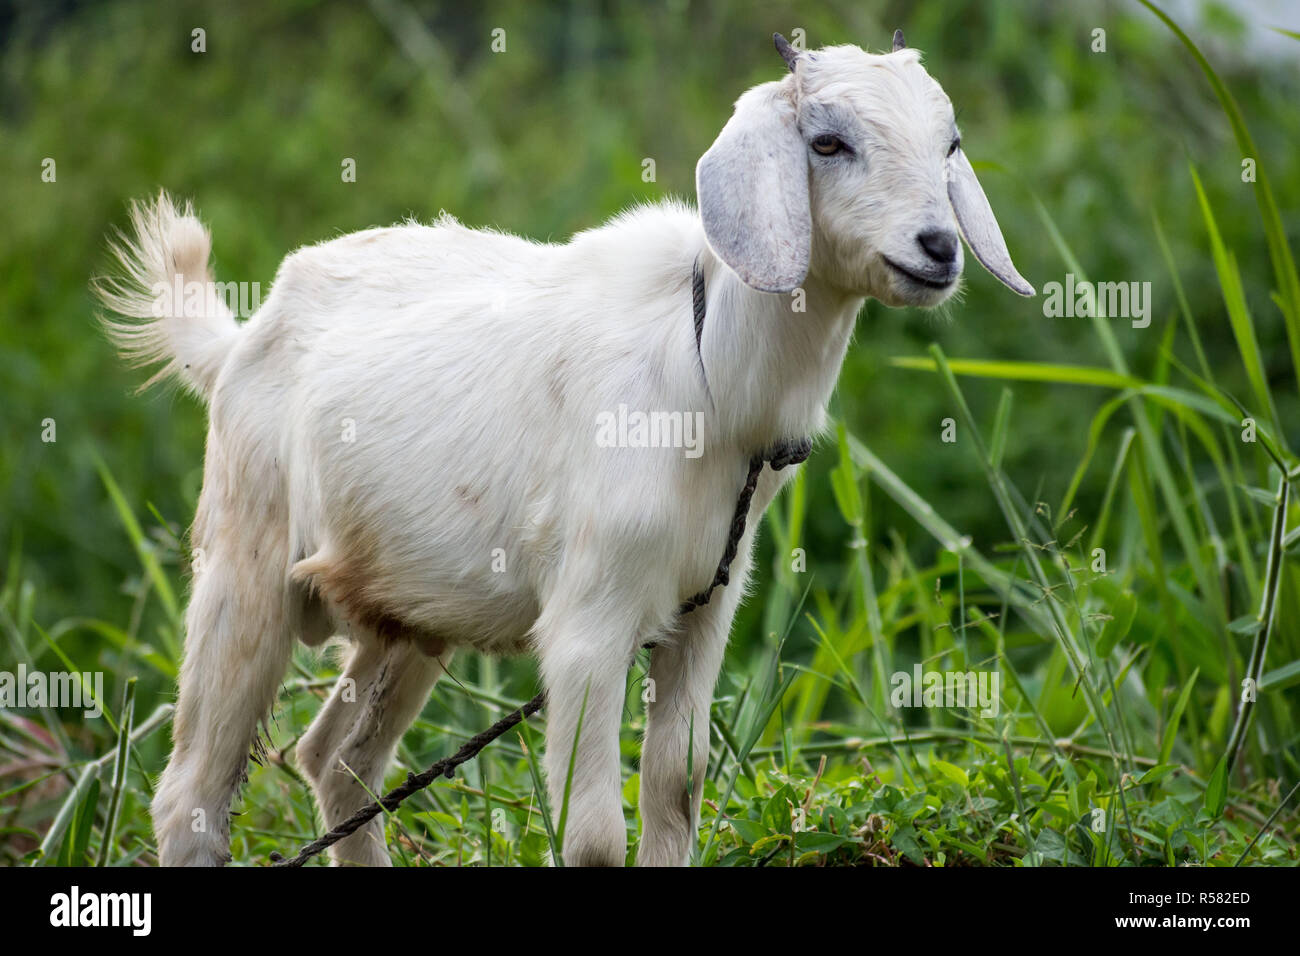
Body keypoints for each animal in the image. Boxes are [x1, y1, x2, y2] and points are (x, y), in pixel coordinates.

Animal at [95, 31, 1032, 867]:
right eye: (828, 142)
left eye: (947, 144)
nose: (939, 249)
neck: (709, 375)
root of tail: (239, 339)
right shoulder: (587, 623)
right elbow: (591, 840)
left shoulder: (704, 614)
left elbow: (676, 791)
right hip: (244, 569)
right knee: (192, 796)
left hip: (406, 614)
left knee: (336, 762)